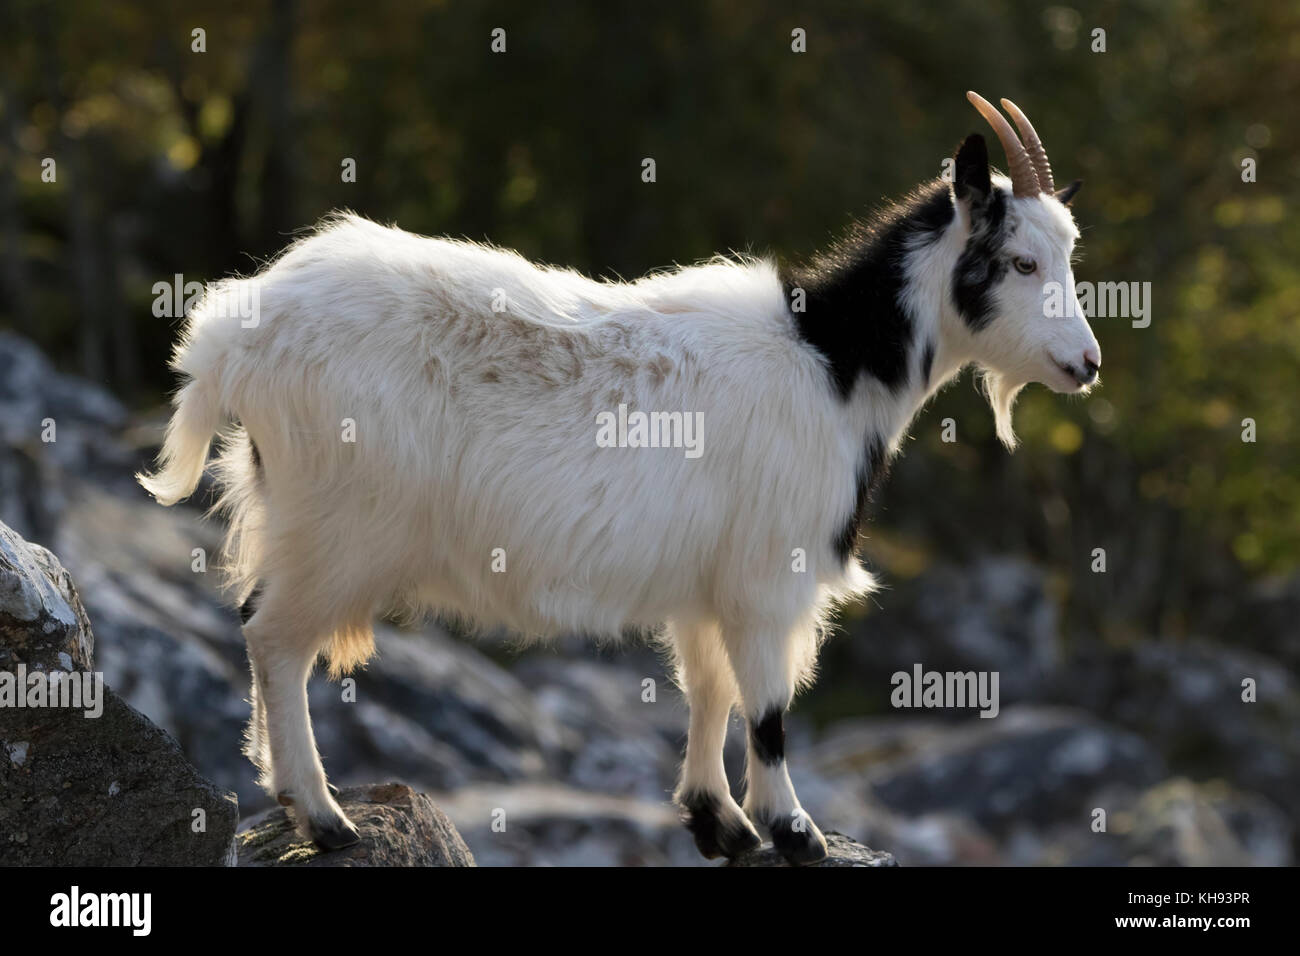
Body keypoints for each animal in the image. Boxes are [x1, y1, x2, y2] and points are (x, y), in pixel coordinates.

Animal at [140, 93, 1100, 864]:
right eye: (1021, 262)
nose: (1086, 364)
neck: (833, 363)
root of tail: (232, 335)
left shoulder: (709, 581)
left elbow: (709, 688)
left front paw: (718, 822)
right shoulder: (769, 576)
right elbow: (769, 708)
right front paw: (794, 830)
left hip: (291, 507)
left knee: (264, 629)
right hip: (338, 525)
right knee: (274, 637)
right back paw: (324, 816)